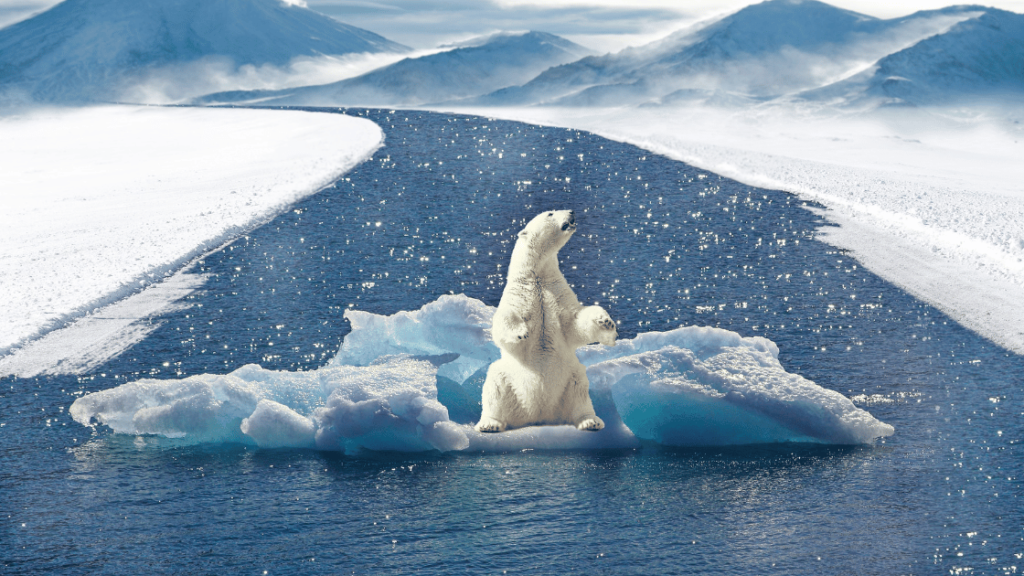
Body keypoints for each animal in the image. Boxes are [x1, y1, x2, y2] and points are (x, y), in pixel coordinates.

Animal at [475, 209, 618, 433]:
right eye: (550, 213)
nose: (571, 211)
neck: (537, 276)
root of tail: (539, 415)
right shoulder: (519, 295)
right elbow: (504, 320)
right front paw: (521, 332)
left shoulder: (557, 293)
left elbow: (575, 323)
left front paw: (606, 322)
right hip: (508, 377)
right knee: (495, 386)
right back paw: (490, 424)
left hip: (570, 378)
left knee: (580, 390)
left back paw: (590, 421)